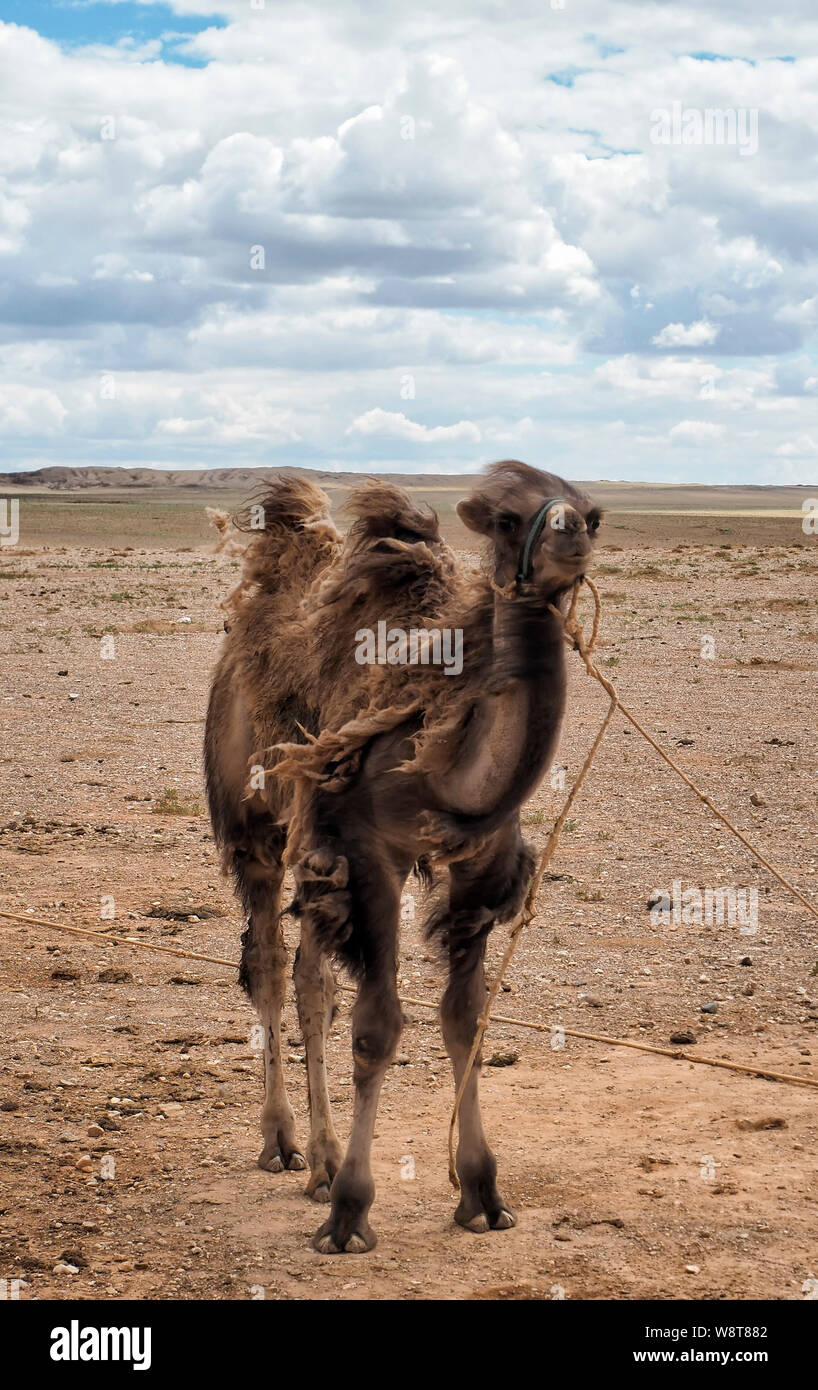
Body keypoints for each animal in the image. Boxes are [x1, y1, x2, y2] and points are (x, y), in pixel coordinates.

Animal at [204, 460, 601, 1253]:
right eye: (506, 519)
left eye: (593, 513)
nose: (570, 536)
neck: (447, 773)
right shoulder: (368, 855)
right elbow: (378, 1029)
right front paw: (350, 1215)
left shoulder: (478, 864)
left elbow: (464, 1019)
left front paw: (481, 1192)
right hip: (257, 825)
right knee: (268, 967)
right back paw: (283, 1144)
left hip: (313, 851)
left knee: (313, 980)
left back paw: (321, 1160)